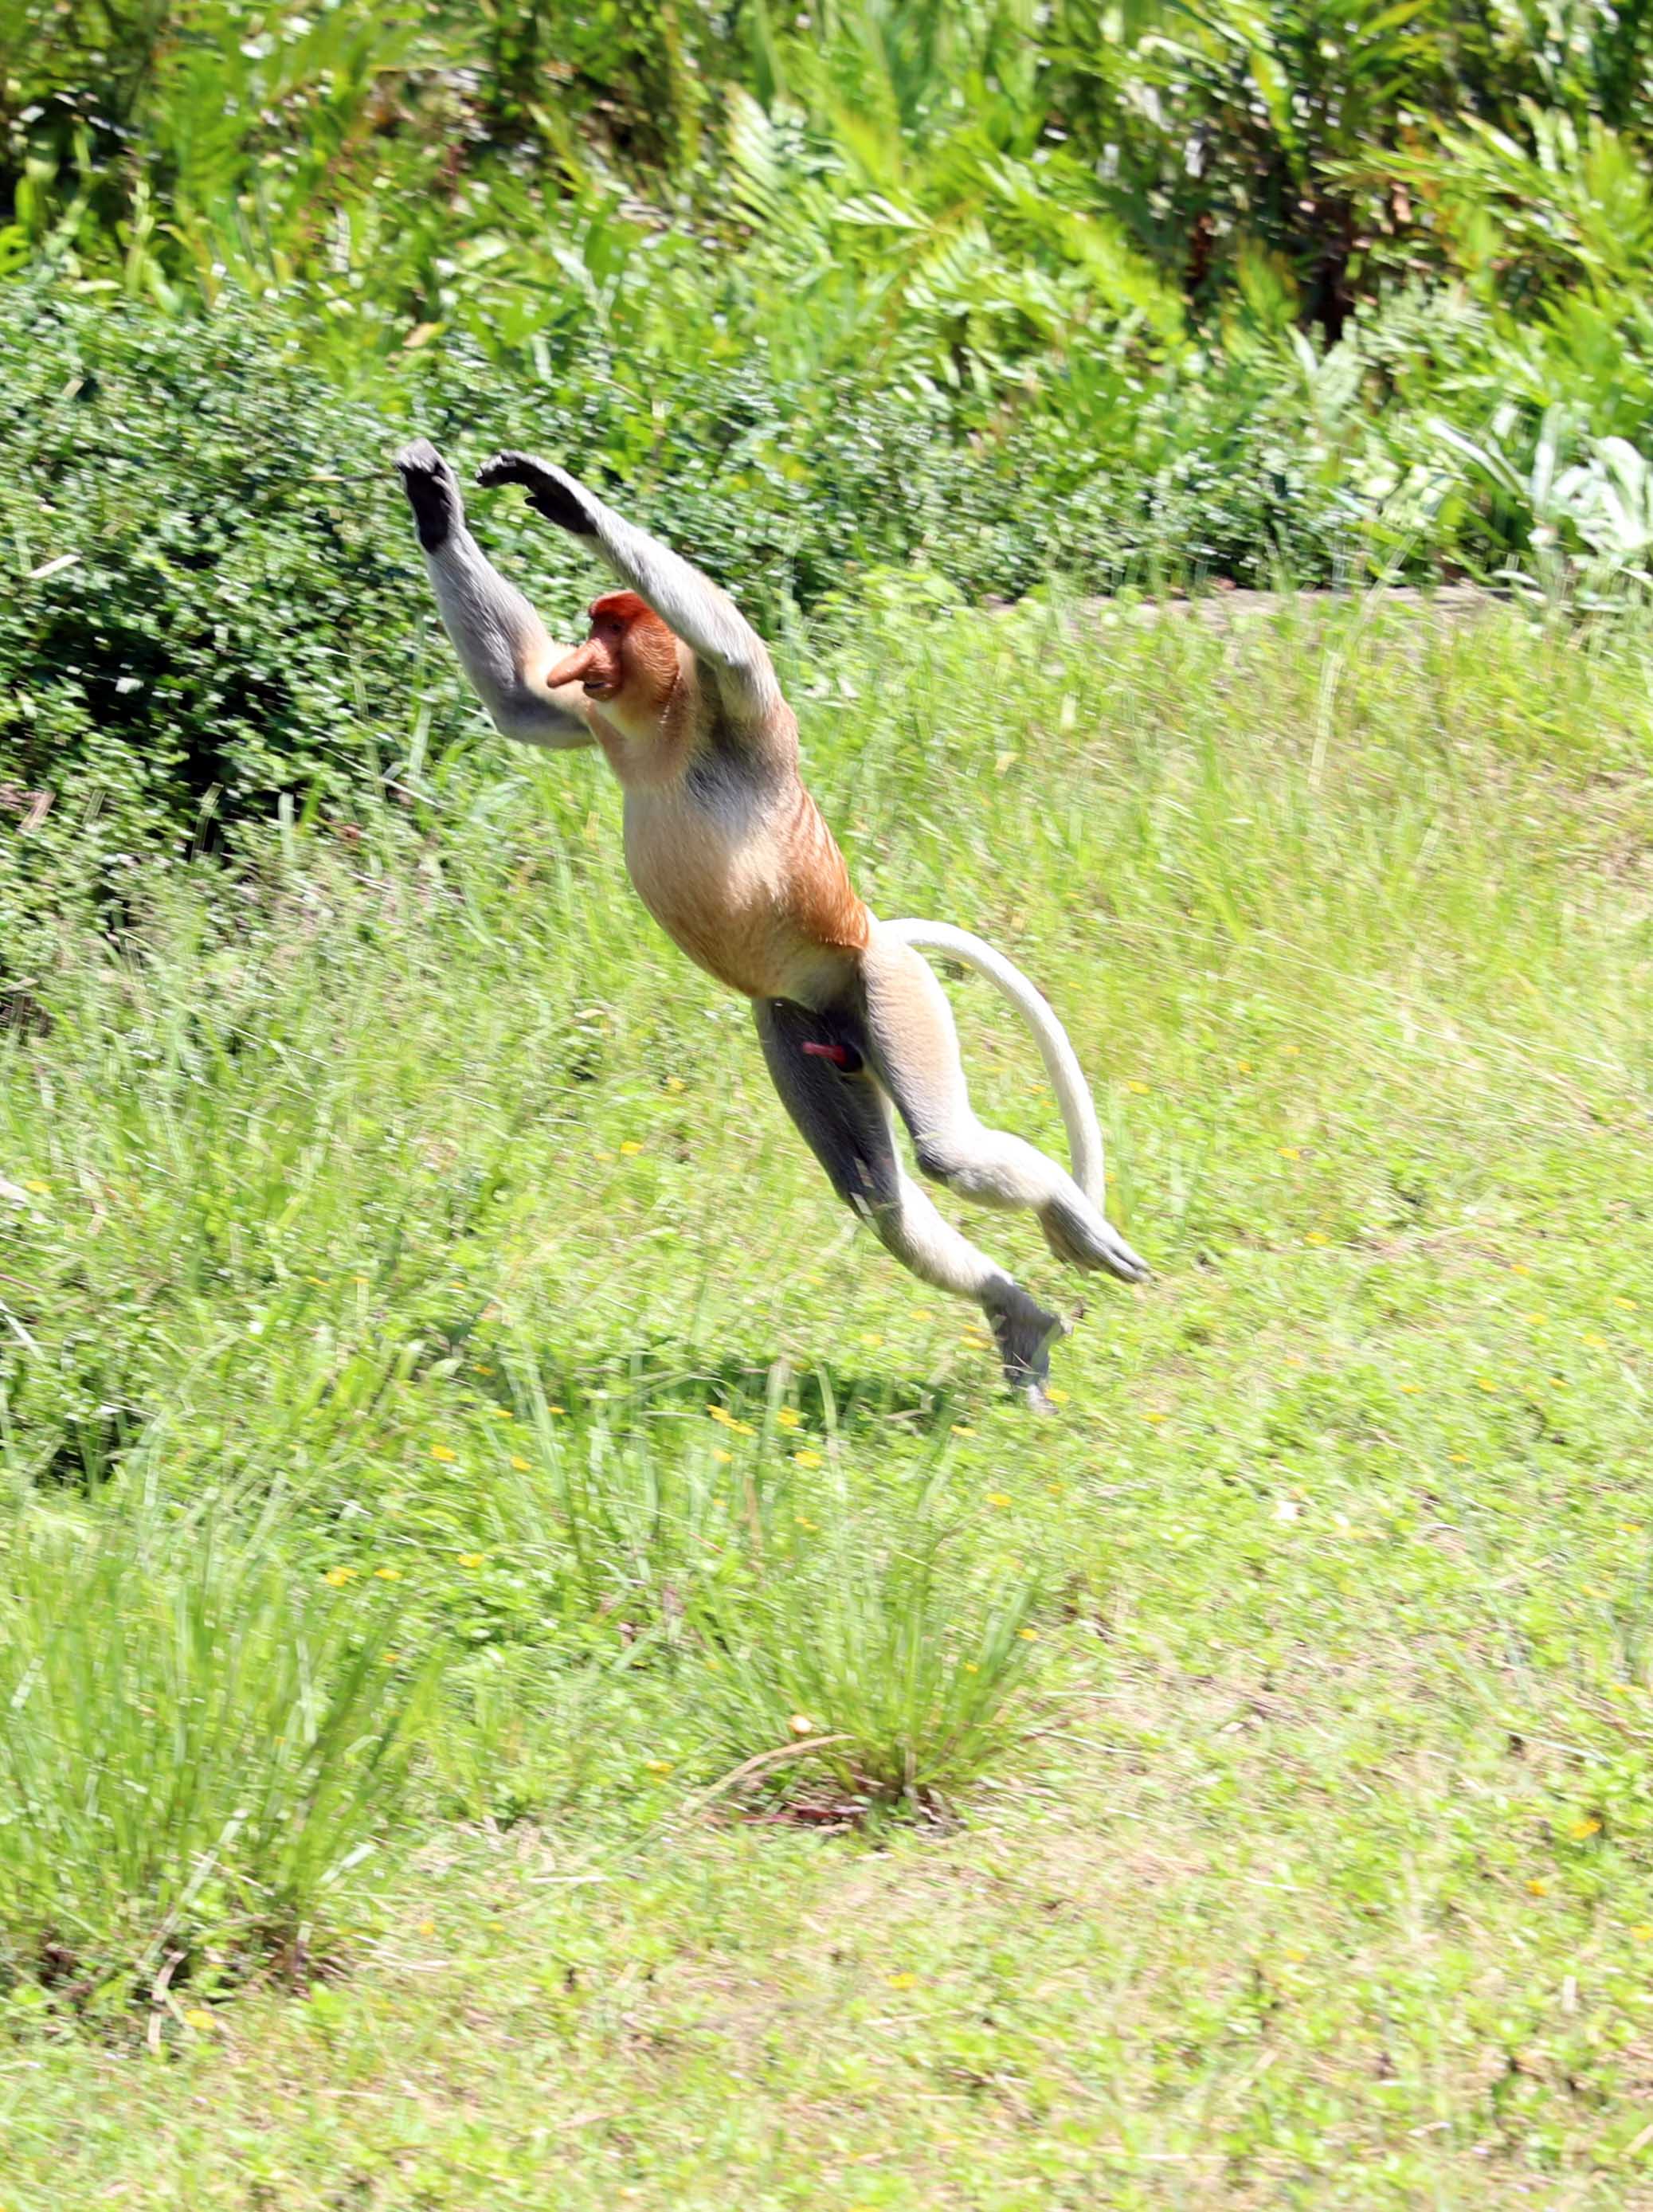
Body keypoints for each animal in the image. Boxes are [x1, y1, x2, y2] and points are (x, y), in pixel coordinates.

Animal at [394, 439, 1146, 1404]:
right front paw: (432, 498)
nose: (582, 654)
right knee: (875, 1192)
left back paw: (1065, 1220)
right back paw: (1020, 1314)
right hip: (799, 1023)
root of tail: (870, 932)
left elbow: (722, 635)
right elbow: (525, 700)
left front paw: (562, 499)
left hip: (886, 985)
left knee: (946, 1154)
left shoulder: (737, 701)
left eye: (611, 626)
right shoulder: (595, 716)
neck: (662, 725)